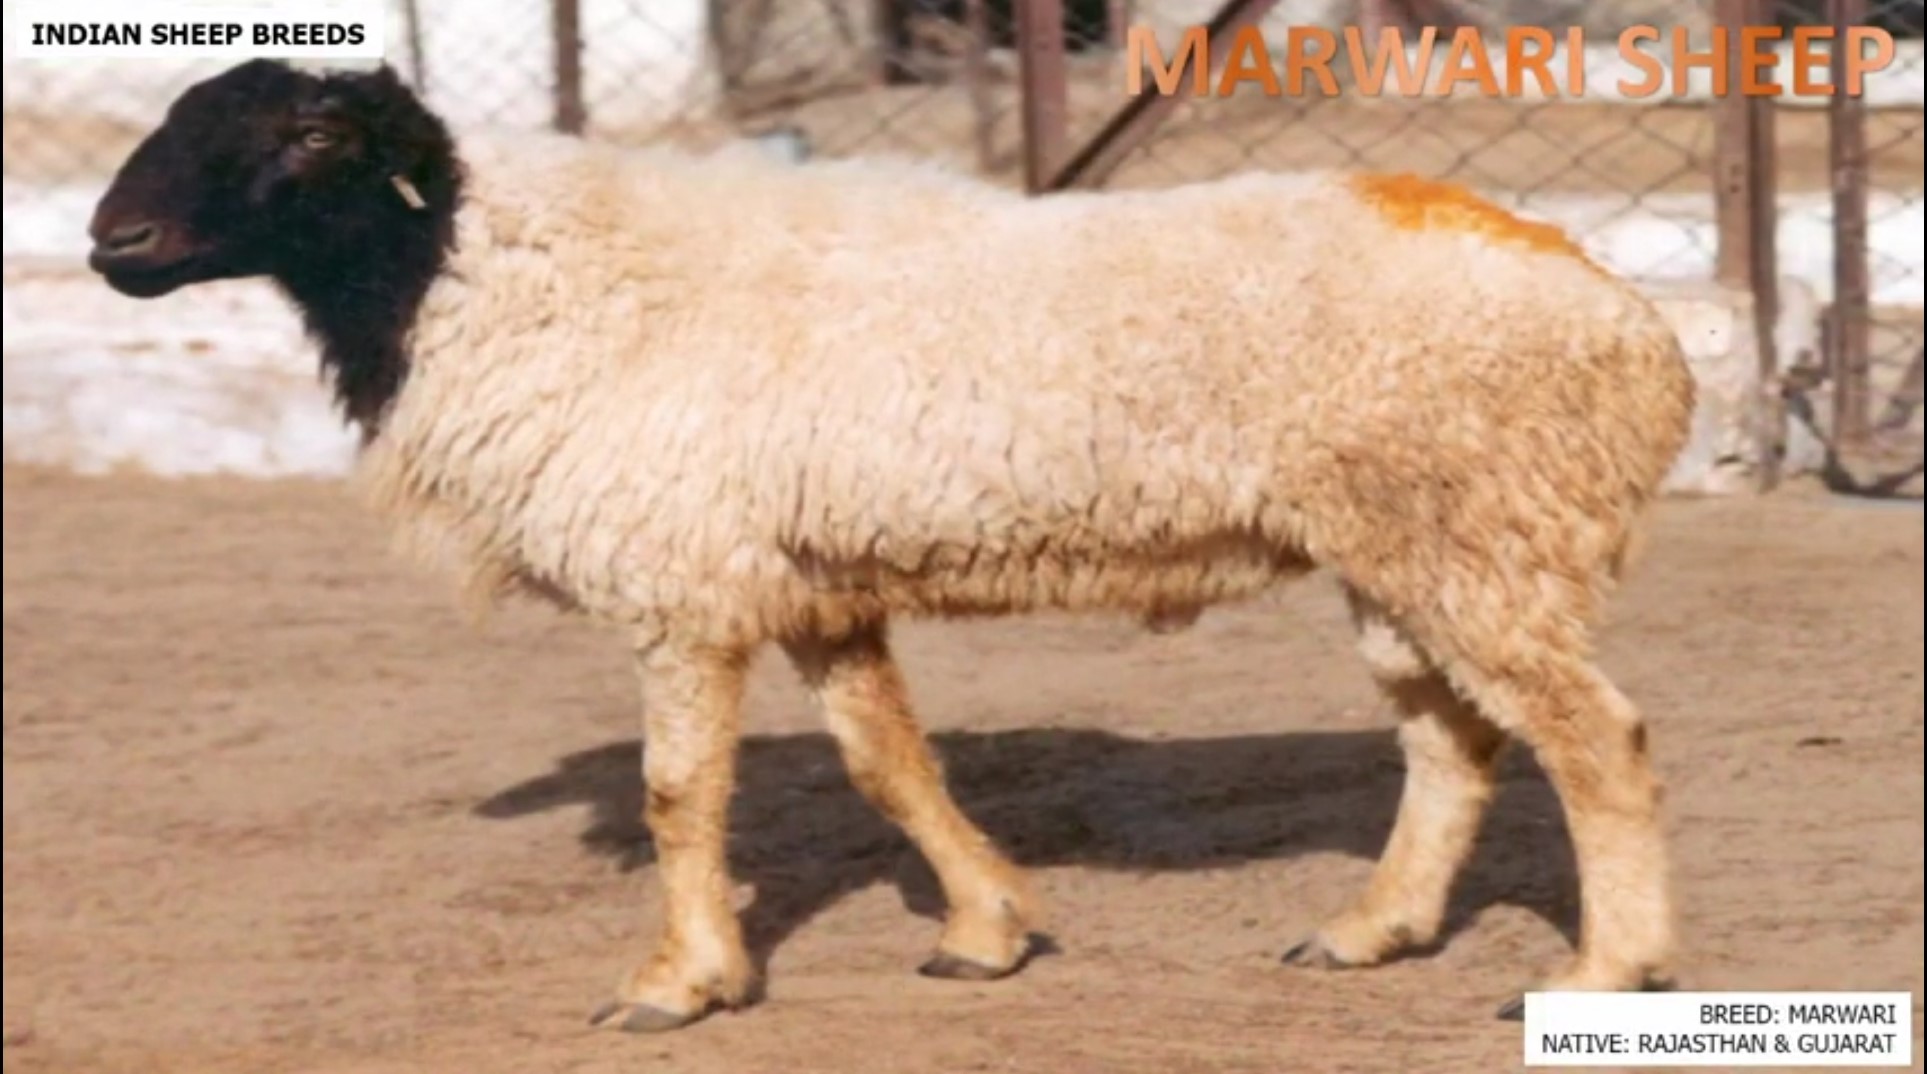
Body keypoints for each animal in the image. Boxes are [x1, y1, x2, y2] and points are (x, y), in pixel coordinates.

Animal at [86, 58, 1698, 1034]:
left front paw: (679, 981)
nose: (113, 243)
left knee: (1594, 740)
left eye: (310, 138)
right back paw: (1372, 930)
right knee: (1451, 740)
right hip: (1409, 547)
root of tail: (1630, 322)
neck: (468, 271)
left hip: (1478, 534)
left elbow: (679, 797)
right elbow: (889, 765)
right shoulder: (804, 580)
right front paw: (986, 929)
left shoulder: (681, 581)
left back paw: (1605, 965)